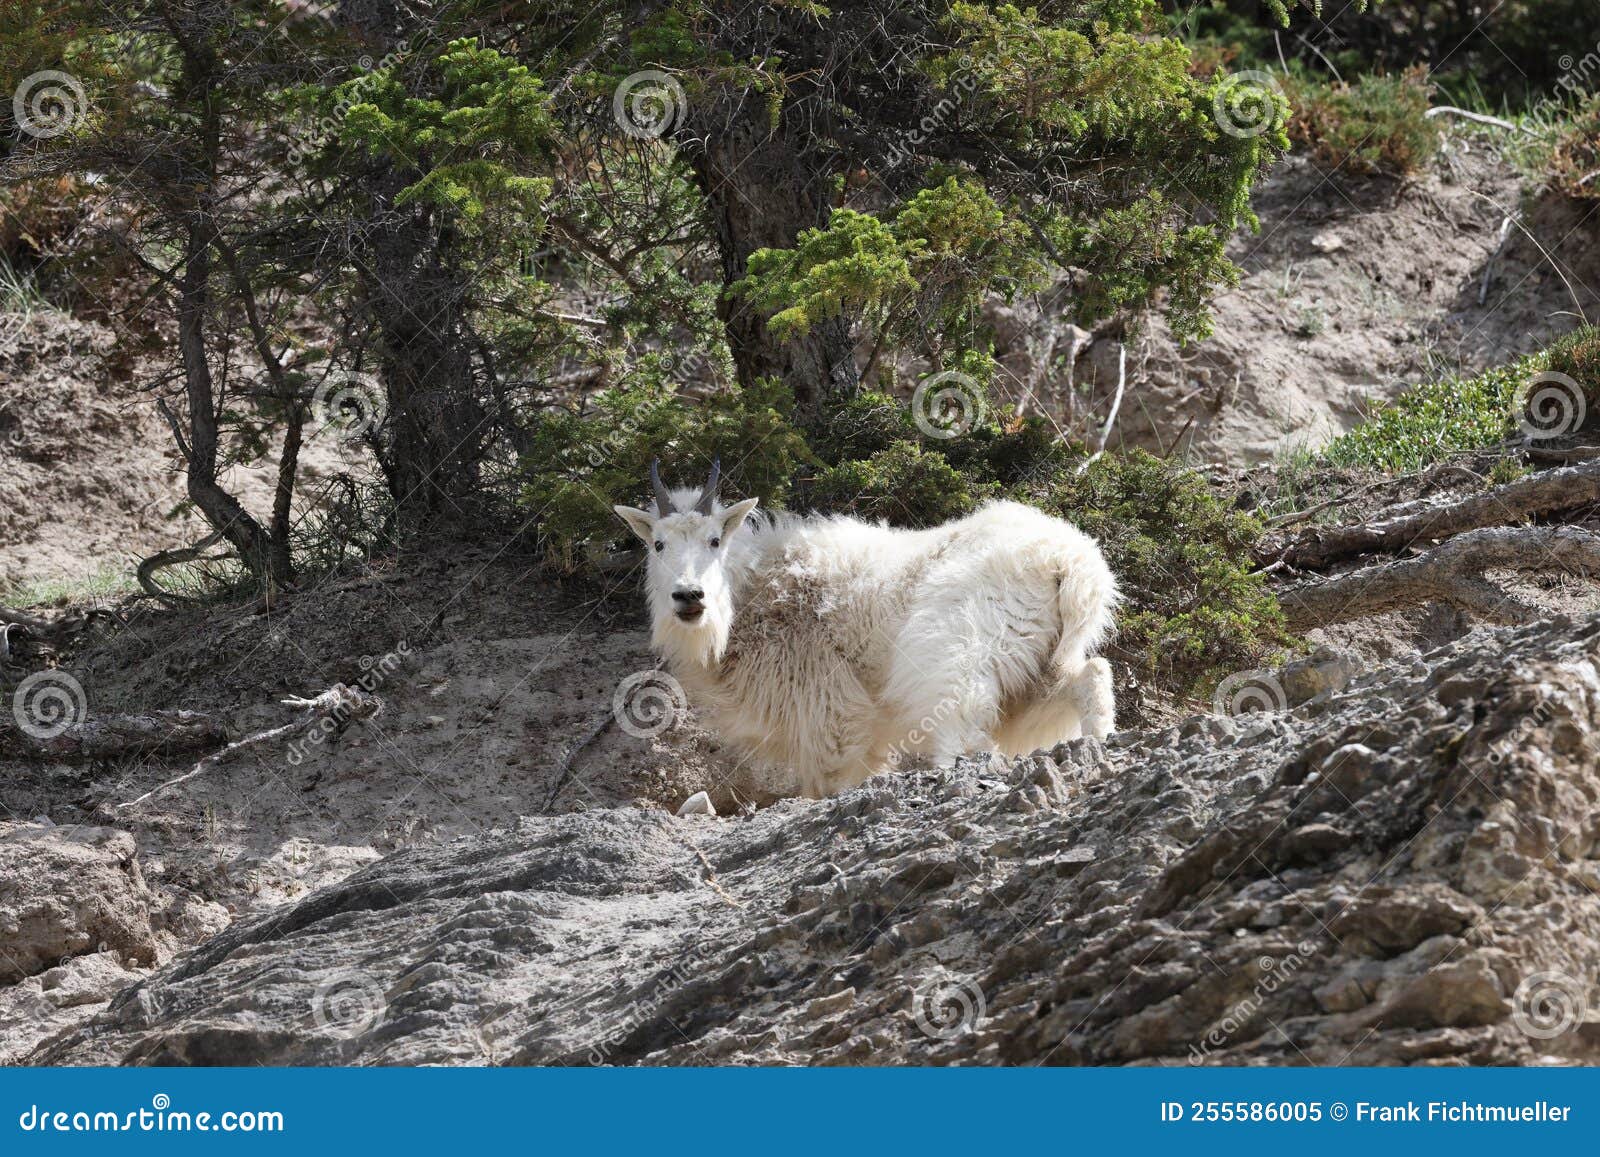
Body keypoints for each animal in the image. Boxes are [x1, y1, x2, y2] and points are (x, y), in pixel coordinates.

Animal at [614, 459, 1119, 798]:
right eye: (658, 544)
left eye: (714, 540)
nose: (689, 597)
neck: (754, 587)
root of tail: (1068, 560)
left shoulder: (828, 705)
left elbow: (833, 776)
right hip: (1039, 662)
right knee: (1090, 676)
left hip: (957, 648)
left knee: (963, 724)